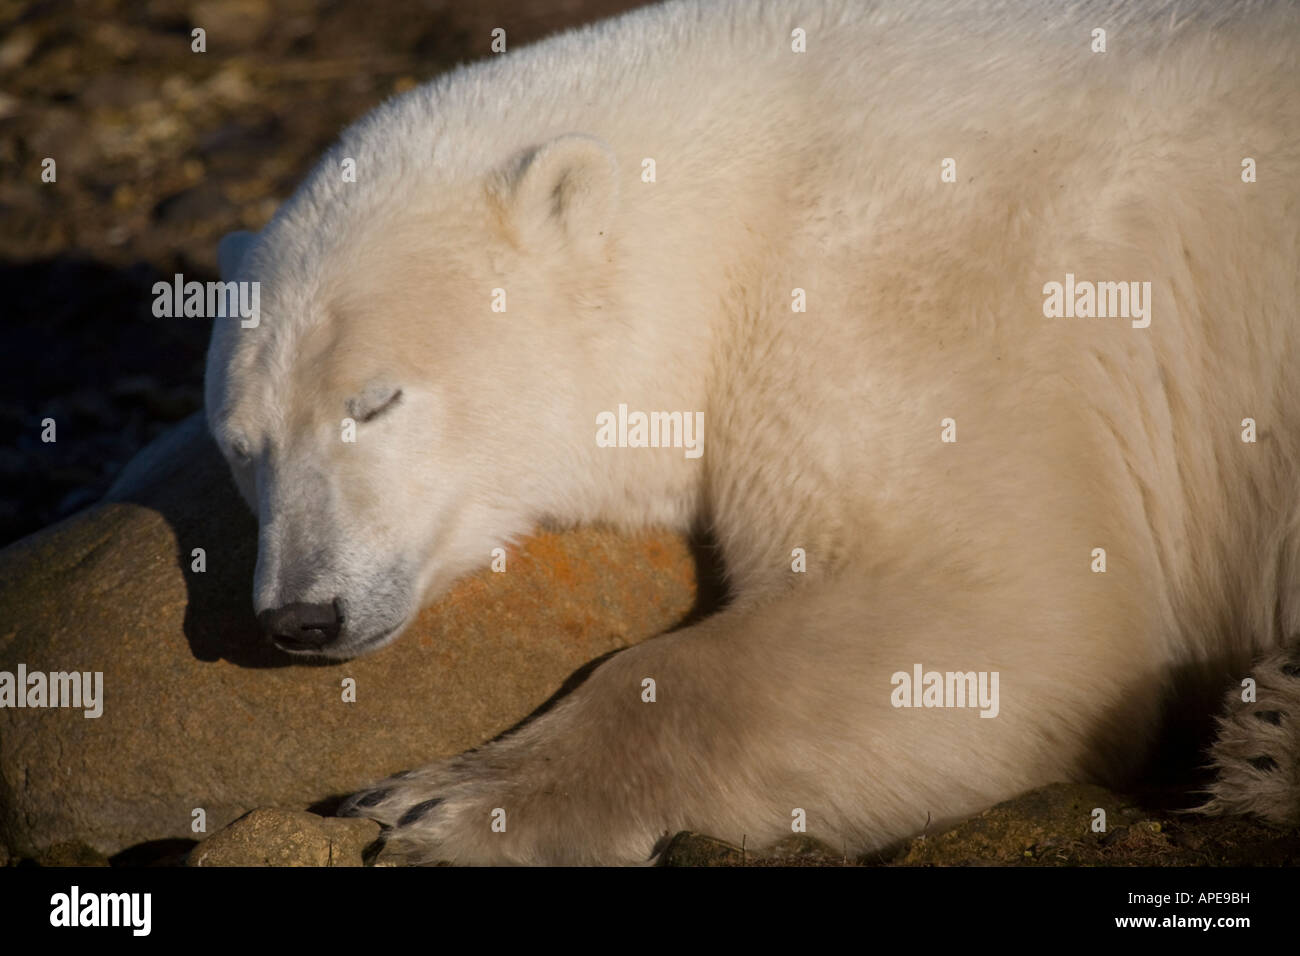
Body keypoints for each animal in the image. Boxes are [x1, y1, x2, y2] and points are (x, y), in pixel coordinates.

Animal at [205, 0, 1300, 864]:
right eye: (240, 444)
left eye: (375, 401)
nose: (300, 615)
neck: (753, 180)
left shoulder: (905, 298)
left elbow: (1001, 622)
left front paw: (444, 804)